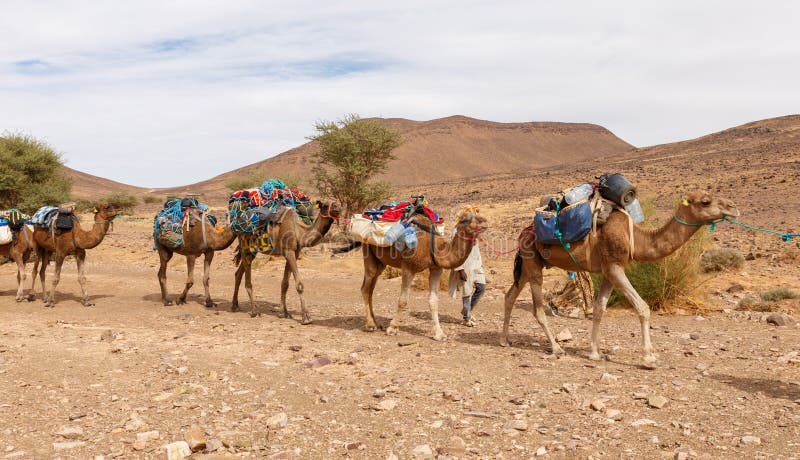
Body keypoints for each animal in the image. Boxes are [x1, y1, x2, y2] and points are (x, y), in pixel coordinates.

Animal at [354, 211, 489, 341]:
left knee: (371, 288)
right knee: (365, 287)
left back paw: (376, 323)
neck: (433, 246)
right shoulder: (408, 267)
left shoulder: (436, 268)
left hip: (380, 263)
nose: (485, 222)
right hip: (368, 251)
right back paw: (370, 325)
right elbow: (403, 300)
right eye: (465, 219)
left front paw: (440, 334)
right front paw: (392, 328)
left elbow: (433, 301)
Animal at [502, 191, 739, 366]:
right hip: (533, 263)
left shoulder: (609, 271)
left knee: (510, 295)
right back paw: (557, 348)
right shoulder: (615, 267)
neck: (636, 237)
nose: (733, 207)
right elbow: (643, 307)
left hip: (528, 265)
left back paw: (505, 340)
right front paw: (649, 357)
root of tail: (524, 232)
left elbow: (599, 310)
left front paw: (594, 353)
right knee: (538, 309)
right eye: (706, 201)